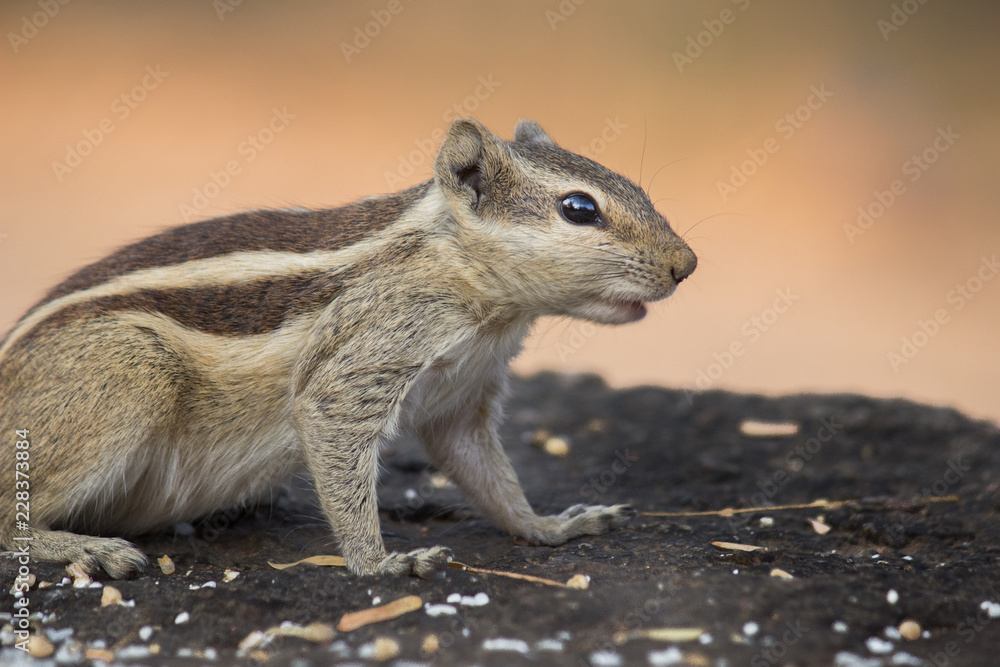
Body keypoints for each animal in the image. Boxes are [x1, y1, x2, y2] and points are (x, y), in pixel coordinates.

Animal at [0, 118, 696, 578]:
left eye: (637, 189)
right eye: (579, 208)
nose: (686, 265)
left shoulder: (462, 399)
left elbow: (489, 474)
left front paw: (550, 526)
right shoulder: (364, 357)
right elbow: (334, 430)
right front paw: (379, 563)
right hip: (130, 372)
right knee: (10, 518)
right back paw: (88, 549)